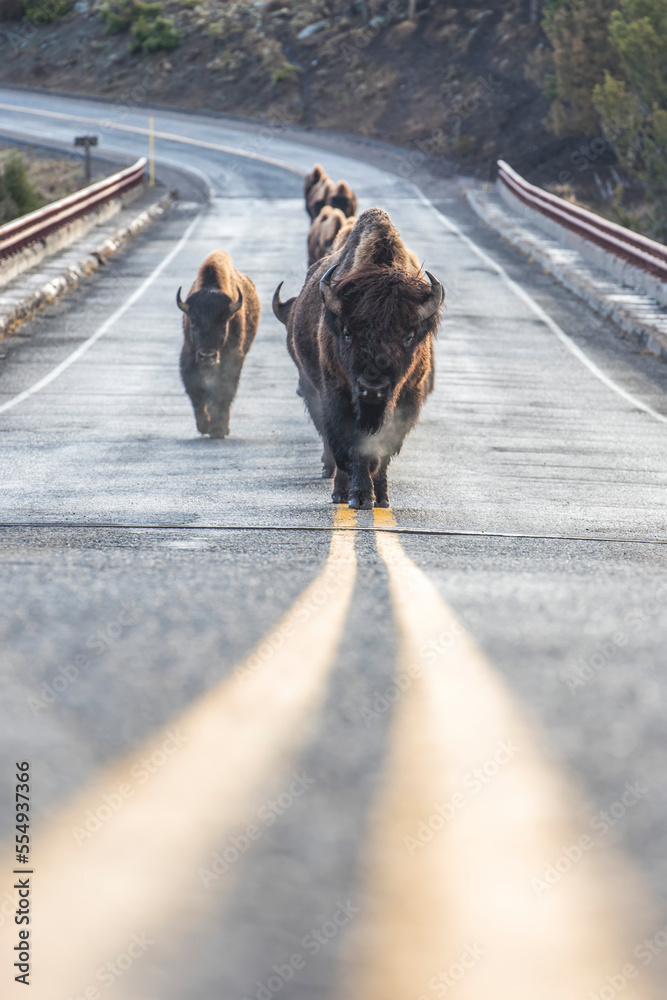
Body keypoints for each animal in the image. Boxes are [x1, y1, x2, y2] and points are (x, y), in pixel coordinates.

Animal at [177, 250, 259, 438]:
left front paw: (217, 429)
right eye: (193, 321)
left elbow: (222, 392)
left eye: (223, 322)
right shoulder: (189, 356)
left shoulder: (232, 359)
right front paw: (204, 426)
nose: (207, 355)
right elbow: (197, 392)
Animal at [273, 208, 443, 509]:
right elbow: (352, 447)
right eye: (347, 332)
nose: (372, 388)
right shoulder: (337, 395)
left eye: (409, 335)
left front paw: (382, 498)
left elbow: (383, 450)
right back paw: (341, 493)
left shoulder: (406, 398)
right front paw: (360, 496)